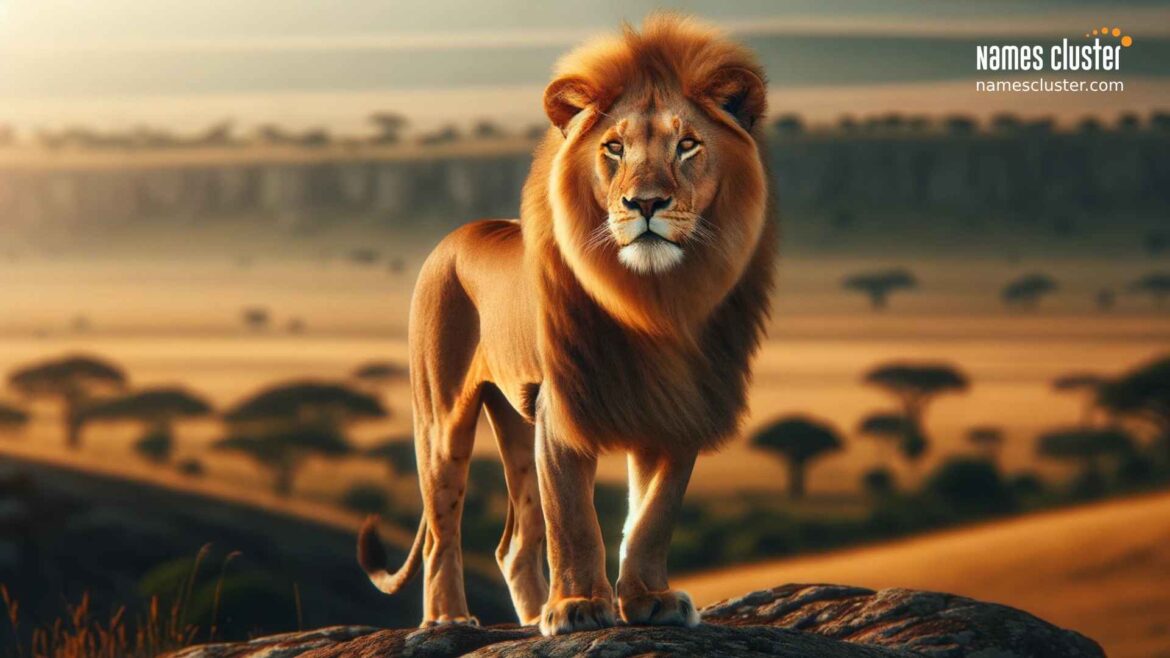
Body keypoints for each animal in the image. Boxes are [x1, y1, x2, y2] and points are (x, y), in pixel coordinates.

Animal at [358, 14, 775, 636]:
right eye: (614, 148)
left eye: (687, 145)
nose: (644, 203)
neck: (652, 301)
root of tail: (457, 234)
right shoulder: (562, 410)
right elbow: (574, 518)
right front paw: (578, 607)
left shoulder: (677, 409)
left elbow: (653, 515)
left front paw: (650, 599)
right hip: (441, 421)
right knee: (441, 531)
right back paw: (449, 620)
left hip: (515, 421)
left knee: (514, 542)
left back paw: (530, 618)